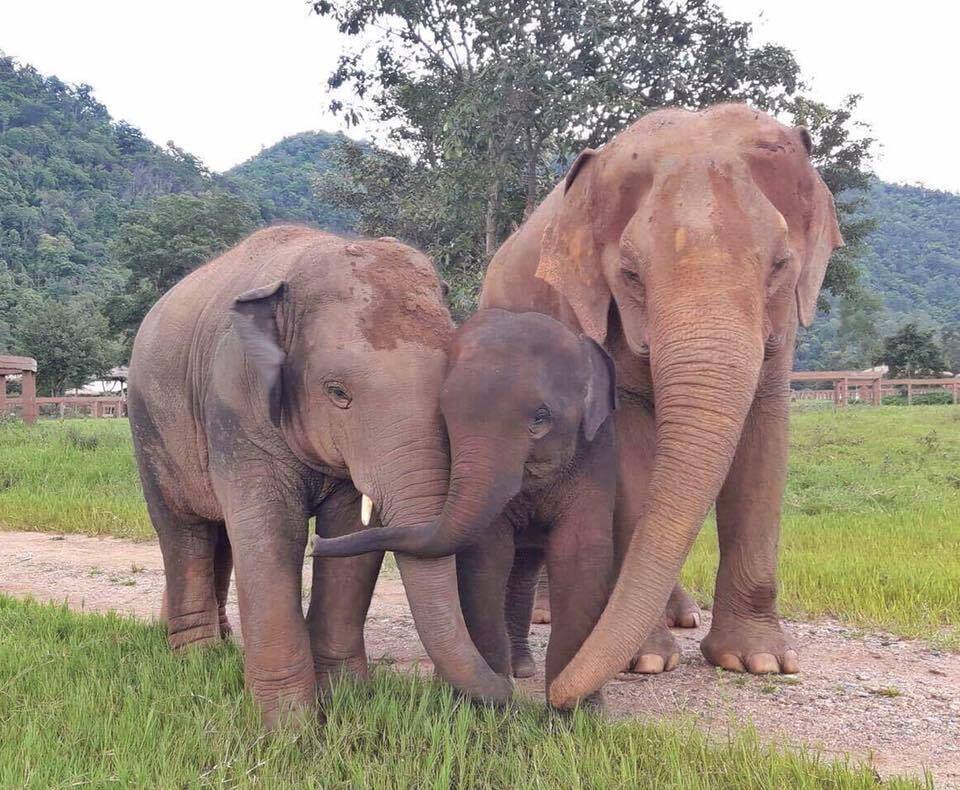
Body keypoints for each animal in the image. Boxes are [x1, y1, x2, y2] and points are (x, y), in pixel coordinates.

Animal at [127, 225, 511, 727]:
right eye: (337, 392)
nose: (511, 688)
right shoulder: (236, 403)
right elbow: (273, 534)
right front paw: (289, 729)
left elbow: (351, 531)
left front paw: (347, 697)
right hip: (148, 428)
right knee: (183, 531)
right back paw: (197, 657)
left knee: (222, 535)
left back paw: (219, 645)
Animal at [309, 308, 618, 696]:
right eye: (443, 416)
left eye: (541, 417)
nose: (316, 543)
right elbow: (487, 554)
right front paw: (491, 698)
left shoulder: (595, 457)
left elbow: (581, 553)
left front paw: (575, 706)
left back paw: (521, 670)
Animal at [477, 104, 843, 708]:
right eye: (630, 274)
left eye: (780, 265)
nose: (557, 698)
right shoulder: (593, 310)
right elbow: (629, 442)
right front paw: (645, 662)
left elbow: (764, 437)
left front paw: (761, 662)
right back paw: (557, 617)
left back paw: (681, 617)